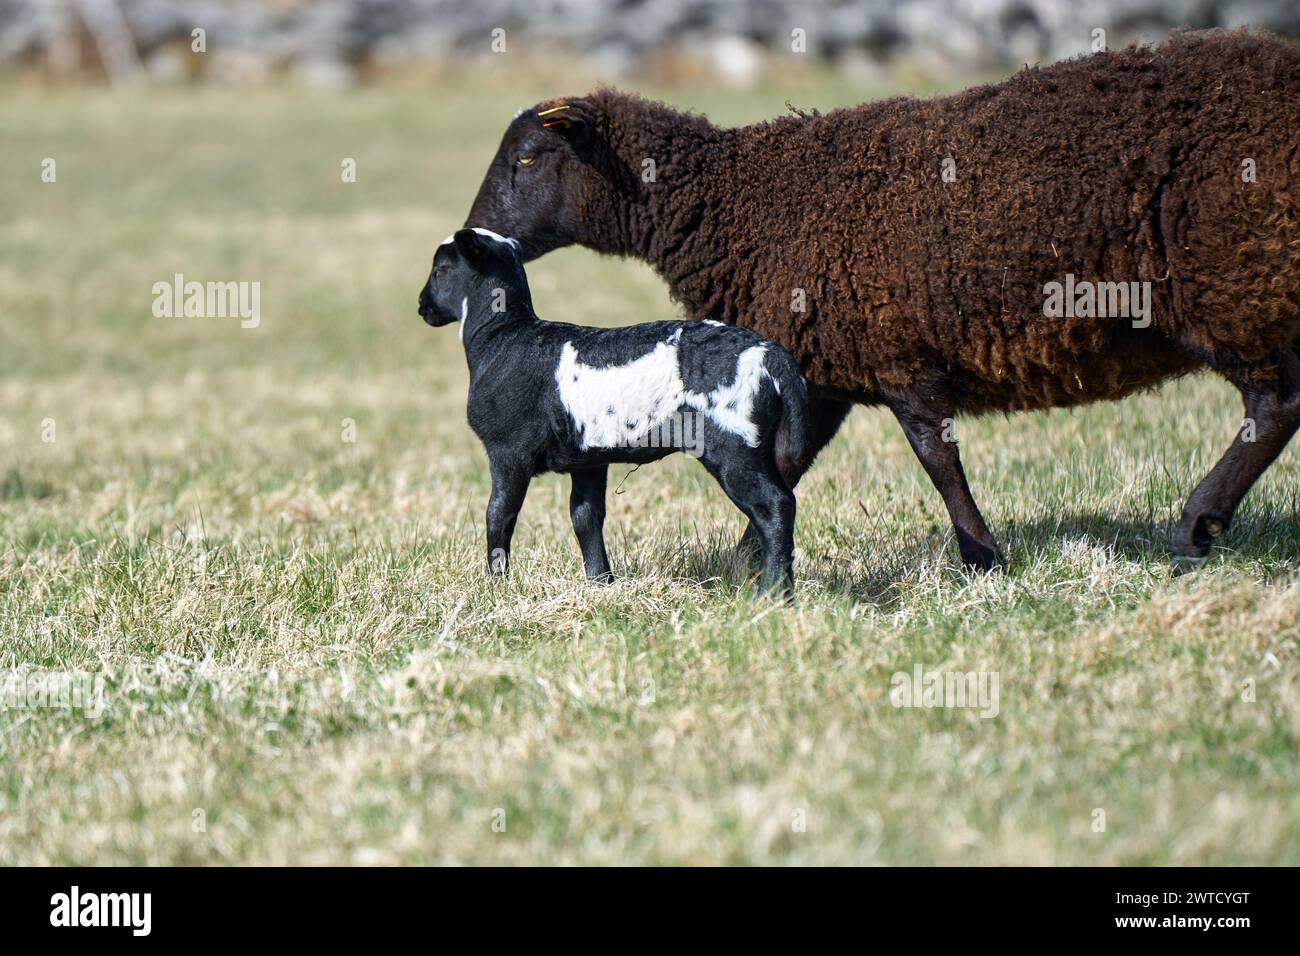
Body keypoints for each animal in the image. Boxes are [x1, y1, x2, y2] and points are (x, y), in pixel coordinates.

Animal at [417, 227, 811, 594]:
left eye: (441, 270)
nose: (422, 306)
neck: (503, 337)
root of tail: (773, 357)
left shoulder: (508, 448)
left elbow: (499, 513)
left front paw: (497, 586)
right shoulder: (589, 459)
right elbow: (585, 516)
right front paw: (601, 583)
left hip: (734, 444)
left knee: (775, 506)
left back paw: (772, 592)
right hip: (756, 447)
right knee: (784, 500)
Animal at [463, 29, 1300, 573]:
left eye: (528, 157)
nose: (473, 235)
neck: (739, 202)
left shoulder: (896, 350)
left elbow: (934, 455)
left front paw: (981, 556)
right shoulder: (817, 365)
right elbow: (791, 461)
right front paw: (747, 560)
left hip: (1231, 281)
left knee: (1274, 405)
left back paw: (1196, 525)